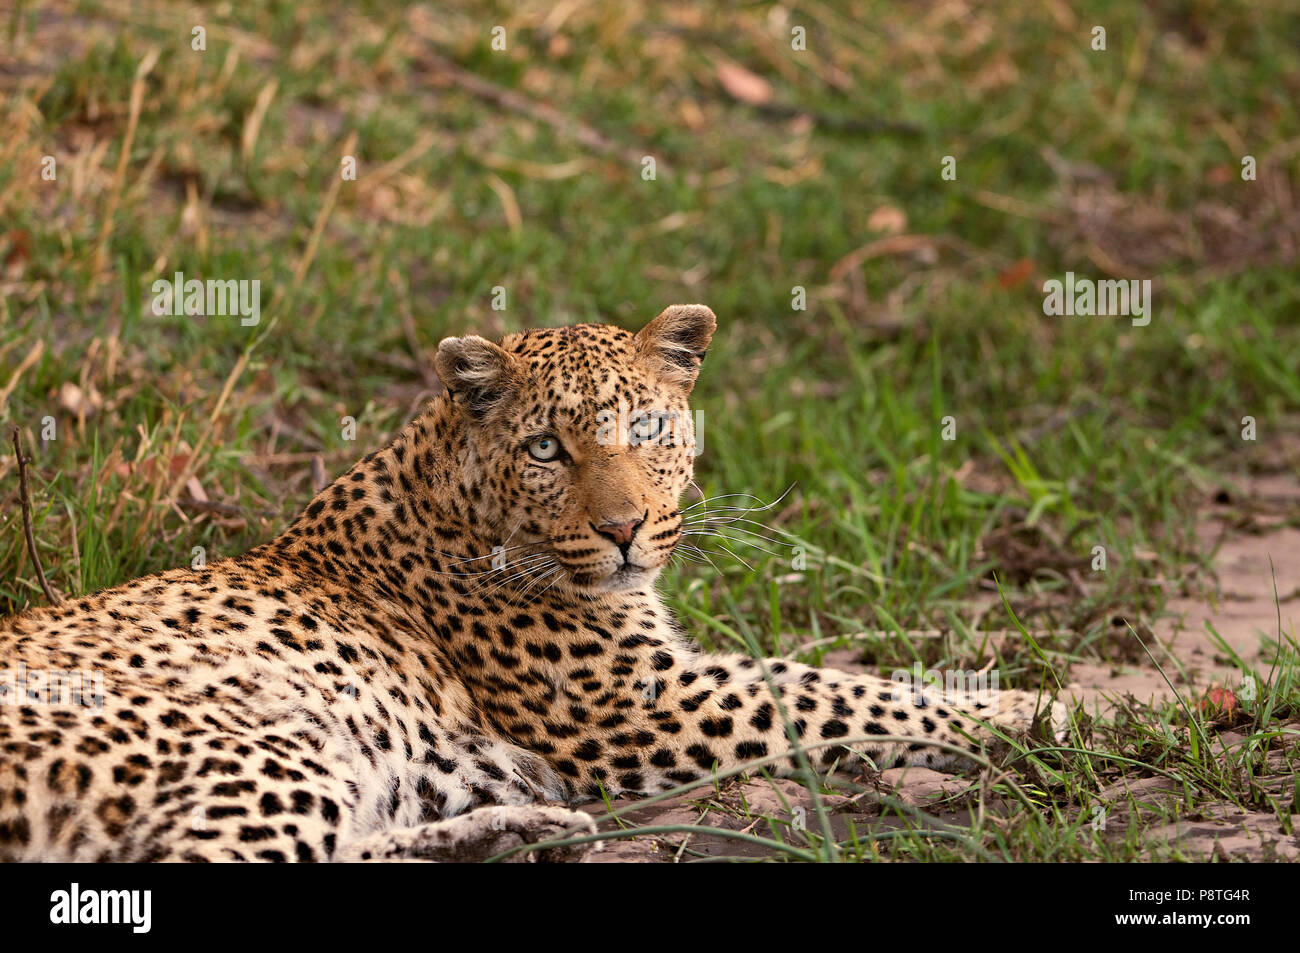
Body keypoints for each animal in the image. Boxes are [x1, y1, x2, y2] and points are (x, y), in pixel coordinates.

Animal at [0, 304, 1064, 862]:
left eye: (647, 429)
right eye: (548, 447)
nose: (623, 528)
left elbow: (839, 677)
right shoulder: (643, 705)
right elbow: (844, 690)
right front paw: (1042, 709)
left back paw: (510, 826)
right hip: (261, 747)